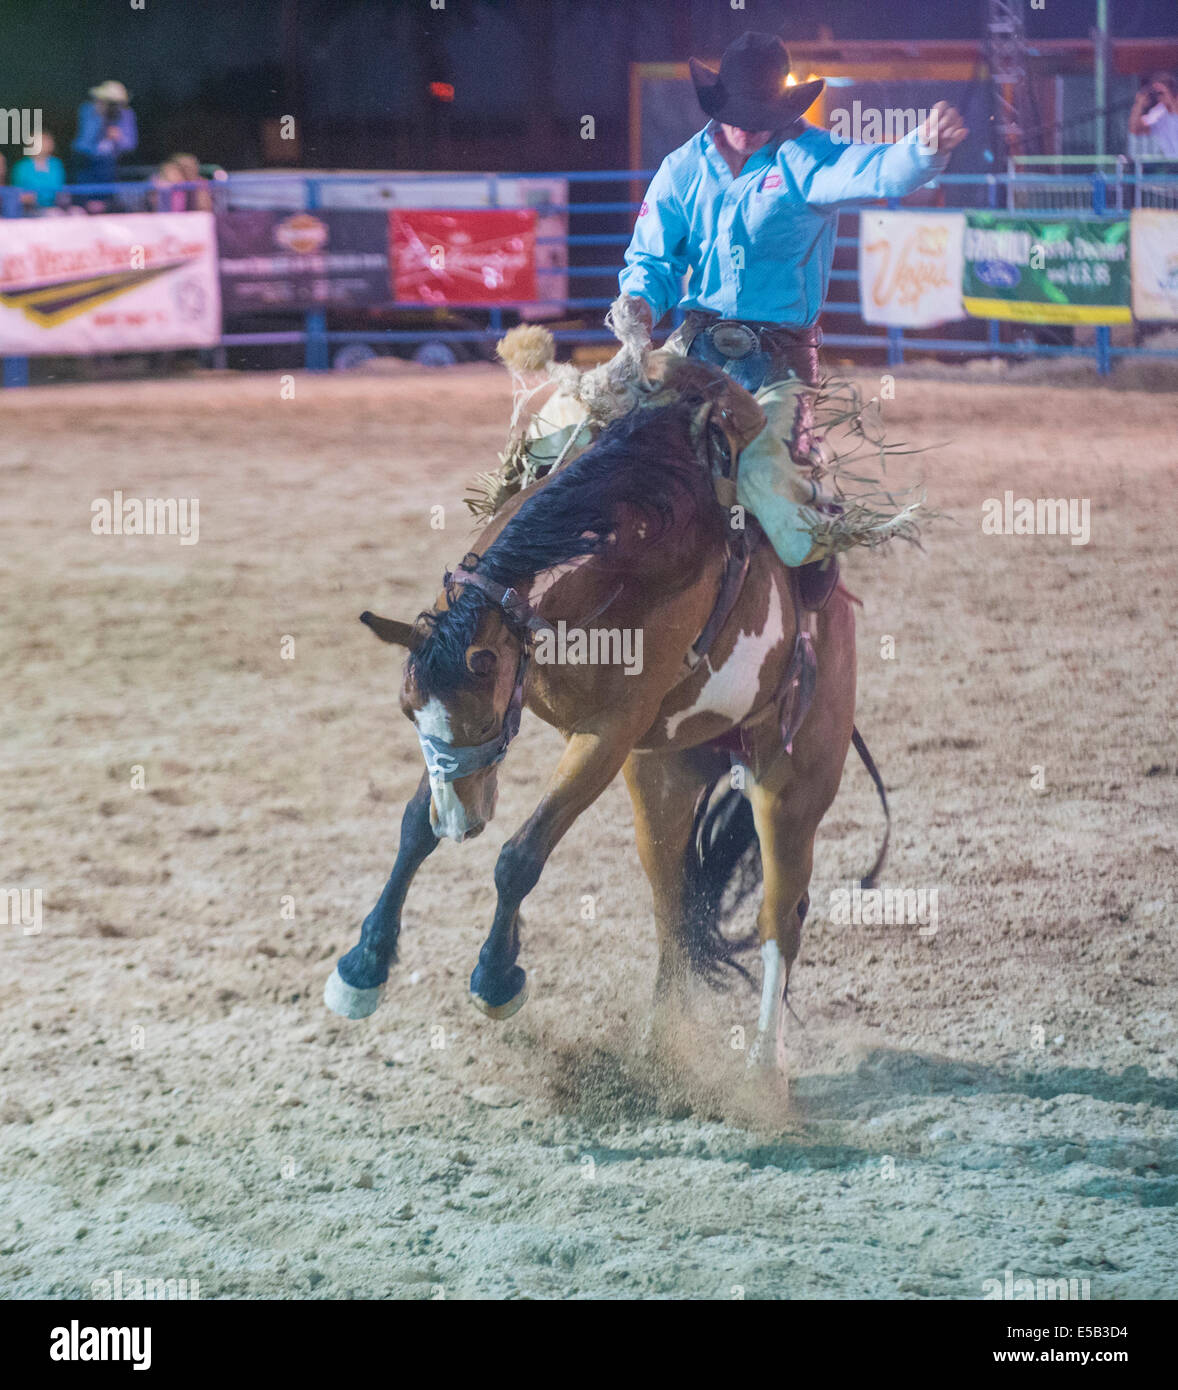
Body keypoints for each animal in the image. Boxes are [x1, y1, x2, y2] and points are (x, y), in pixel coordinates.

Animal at [324, 356, 885, 1075]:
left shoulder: (607, 736)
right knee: (673, 908)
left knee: (779, 919)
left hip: (791, 786)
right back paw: (657, 1049)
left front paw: (497, 978)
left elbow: (519, 856)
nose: (461, 823)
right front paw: (362, 968)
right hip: (663, 776)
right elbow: (411, 830)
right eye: (405, 709)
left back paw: (762, 1075)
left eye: (482, 721)